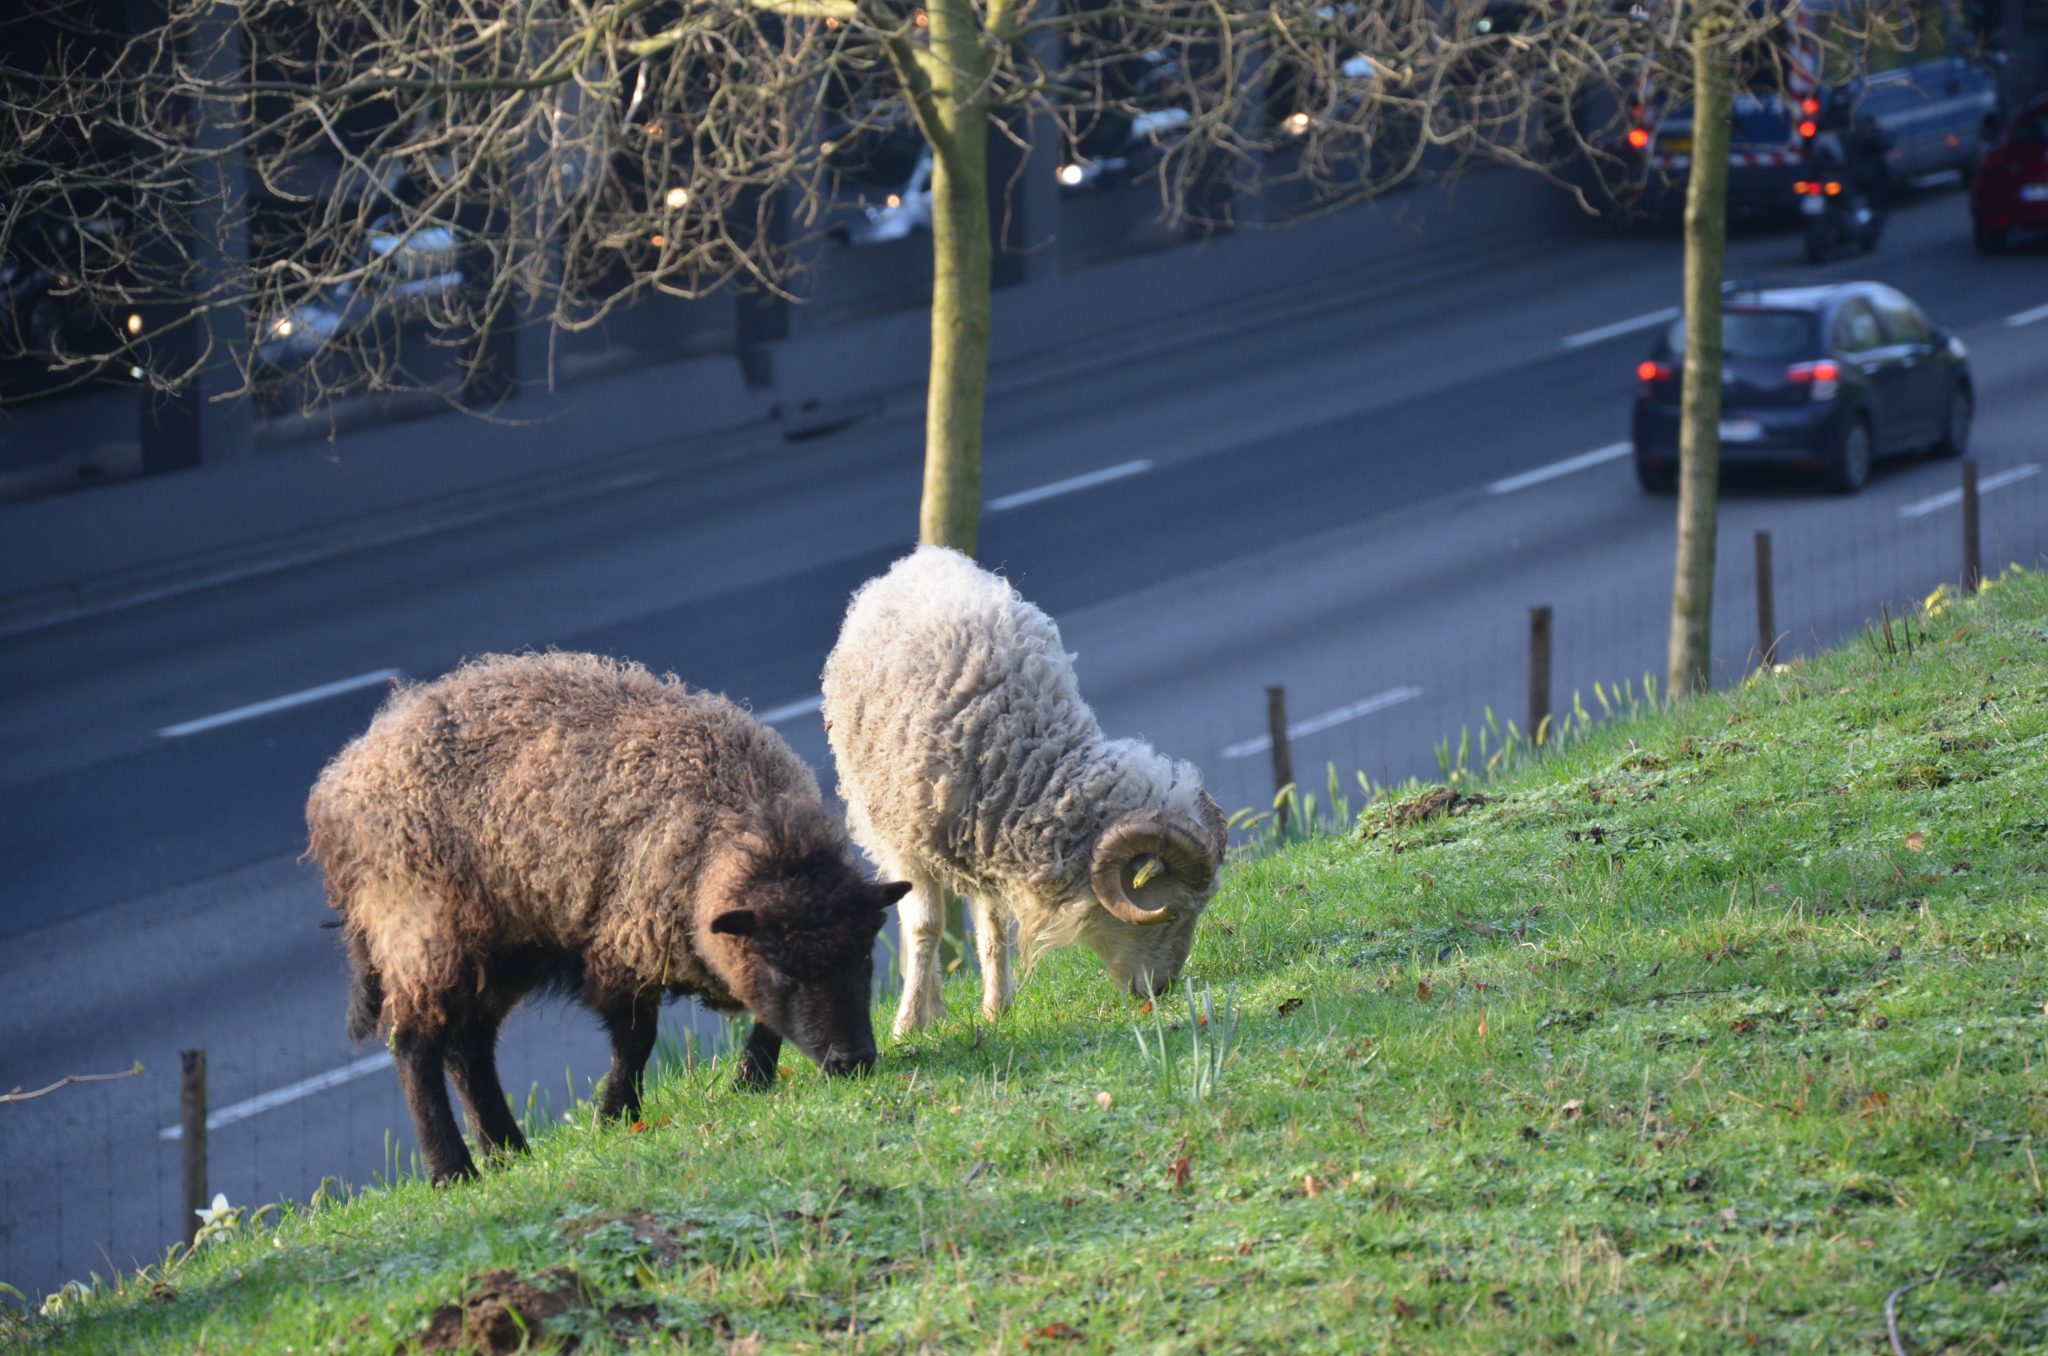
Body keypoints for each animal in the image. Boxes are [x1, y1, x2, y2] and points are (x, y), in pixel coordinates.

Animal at [305, 652, 909, 1183]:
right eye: (787, 974)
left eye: (865, 960)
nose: (853, 1061)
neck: (741, 815)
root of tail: (338, 783)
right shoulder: (626, 939)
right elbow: (637, 1039)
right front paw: (616, 1115)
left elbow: (762, 1018)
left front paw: (750, 1081)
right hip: (422, 929)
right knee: (414, 1047)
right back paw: (452, 1170)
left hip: (498, 945)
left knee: (468, 1048)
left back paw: (507, 1151)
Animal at [821, 546, 1227, 1038]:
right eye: (1174, 909)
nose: (1160, 991)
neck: (1018, 745)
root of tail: (923, 558)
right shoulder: (909, 845)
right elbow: (926, 928)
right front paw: (907, 1026)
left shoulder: (986, 835)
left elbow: (992, 927)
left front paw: (996, 1009)